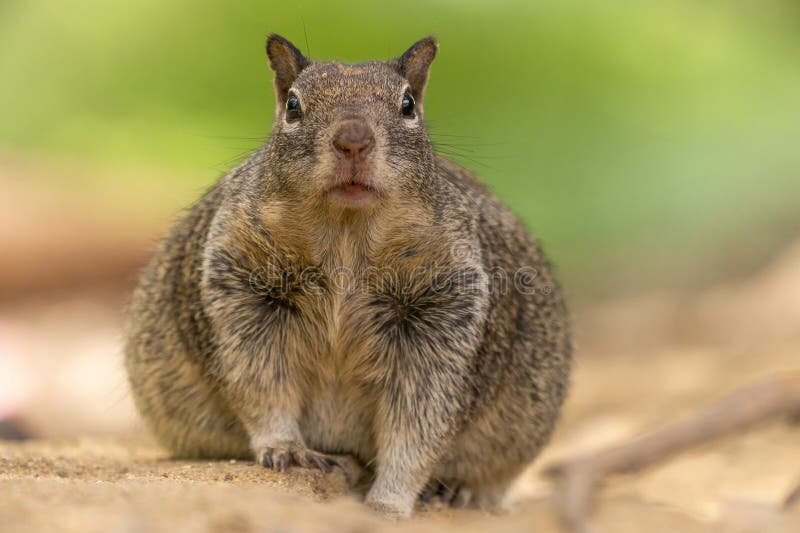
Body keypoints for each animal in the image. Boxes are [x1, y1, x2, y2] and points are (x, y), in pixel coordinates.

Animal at [124, 34, 572, 518]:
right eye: (293, 105)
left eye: (408, 104)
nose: (353, 141)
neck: (346, 236)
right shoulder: (242, 293)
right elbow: (260, 382)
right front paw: (286, 448)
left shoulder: (444, 318)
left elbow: (418, 427)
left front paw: (389, 504)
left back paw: (460, 491)